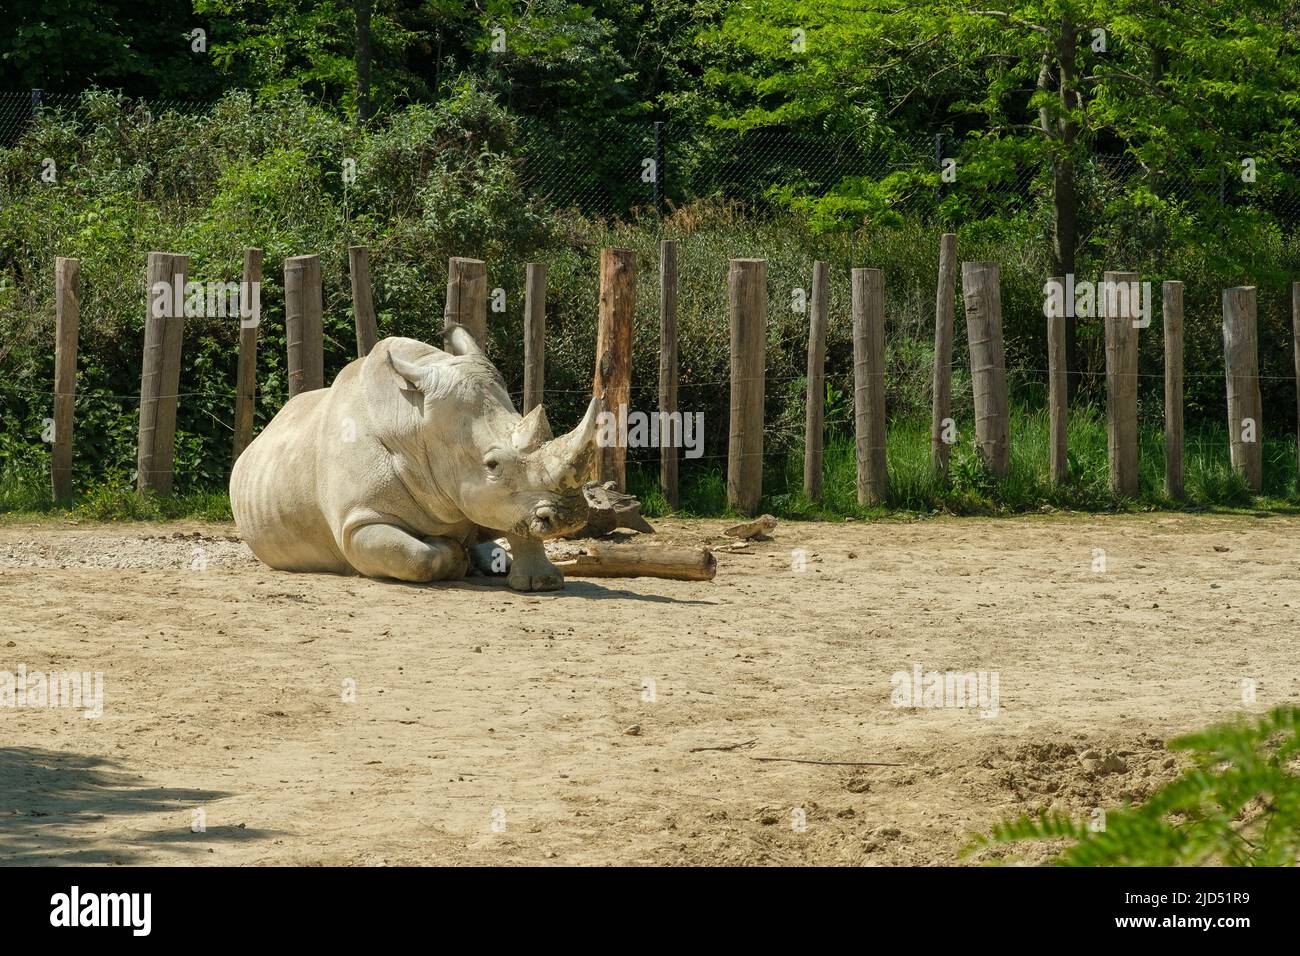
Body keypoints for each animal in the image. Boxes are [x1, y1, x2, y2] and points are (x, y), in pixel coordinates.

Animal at [230, 326, 598, 591]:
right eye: (492, 465)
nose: (571, 516)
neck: (417, 426)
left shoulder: (500, 497)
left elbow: (515, 517)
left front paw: (542, 582)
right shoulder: (359, 520)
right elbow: (416, 555)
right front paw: (453, 554)